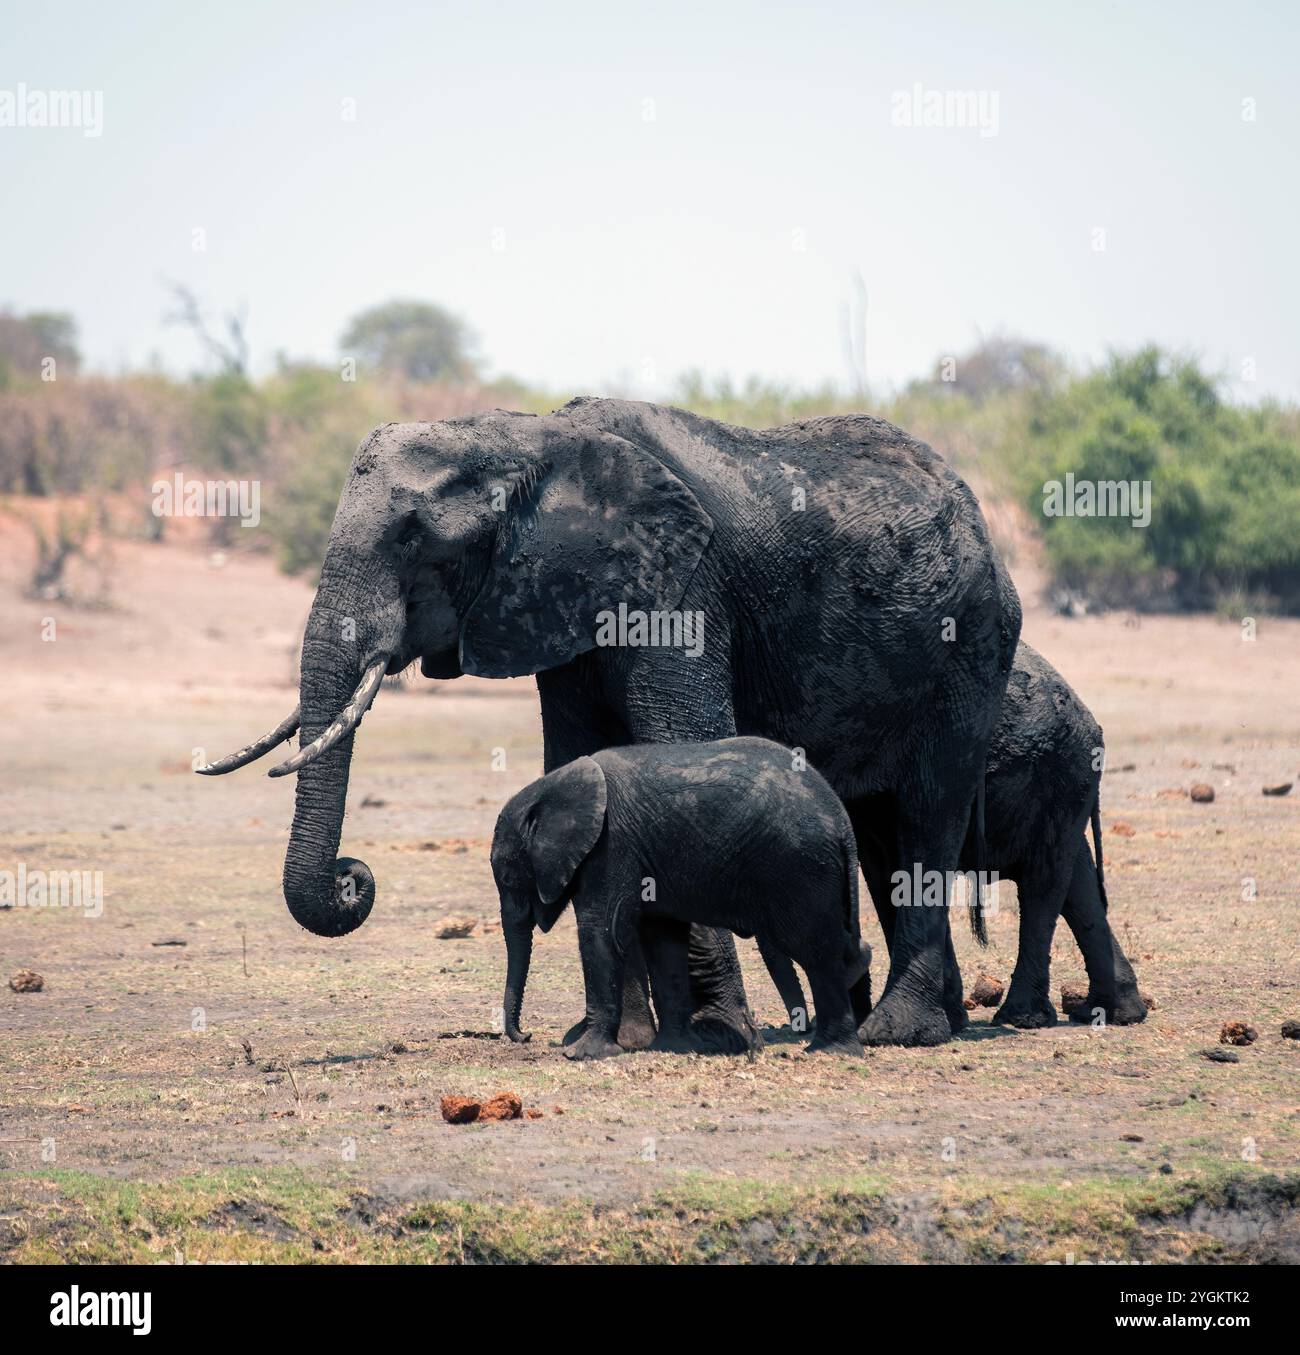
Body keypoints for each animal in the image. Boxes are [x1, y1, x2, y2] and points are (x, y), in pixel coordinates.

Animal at [493, 738, 873, 1059]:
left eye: (508, 878)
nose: (525, 1036)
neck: (553, 786)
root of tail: (842, 819)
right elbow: (663, 938)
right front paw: (673, 1046)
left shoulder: (612, 845)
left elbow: (602, 932)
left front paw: (581, 1054)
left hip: (800, 866)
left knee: (814, 948)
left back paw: (831, 1051)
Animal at [760, 641, 1147, 1031]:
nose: (801, 1024)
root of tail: (1090, 720)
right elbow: (887, 872)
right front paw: (950, 1016)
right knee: (1077, 883)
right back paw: (1111, 1012)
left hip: (1063, 773)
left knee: (1044, 881)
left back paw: (1022, 1017)